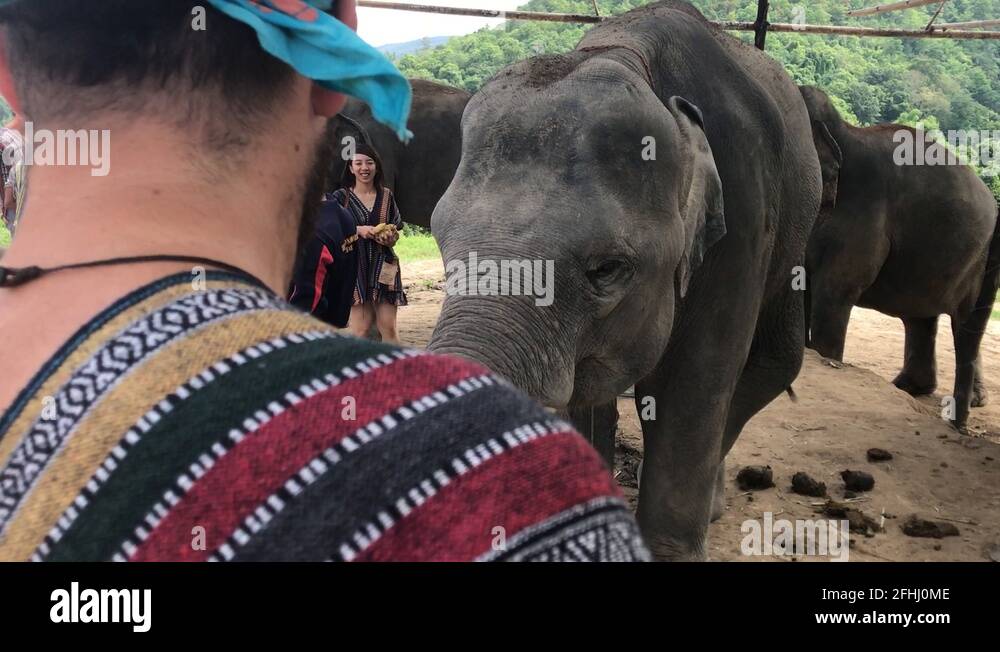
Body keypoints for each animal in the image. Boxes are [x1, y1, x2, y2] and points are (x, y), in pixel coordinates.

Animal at [427, 1, 822, 560]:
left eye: (607, 269)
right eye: (442, 243)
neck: (629, 56)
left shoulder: (745, 220)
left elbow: (694, 381)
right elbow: (588, 398)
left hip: (794, 231)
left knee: (773, 363)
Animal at [800, 85, 1000, 429]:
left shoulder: (863, 215)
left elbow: (835, 289)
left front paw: (826, 359)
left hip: (982, 260)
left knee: (964, 321)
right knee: (922, 318)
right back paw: (914, 388)